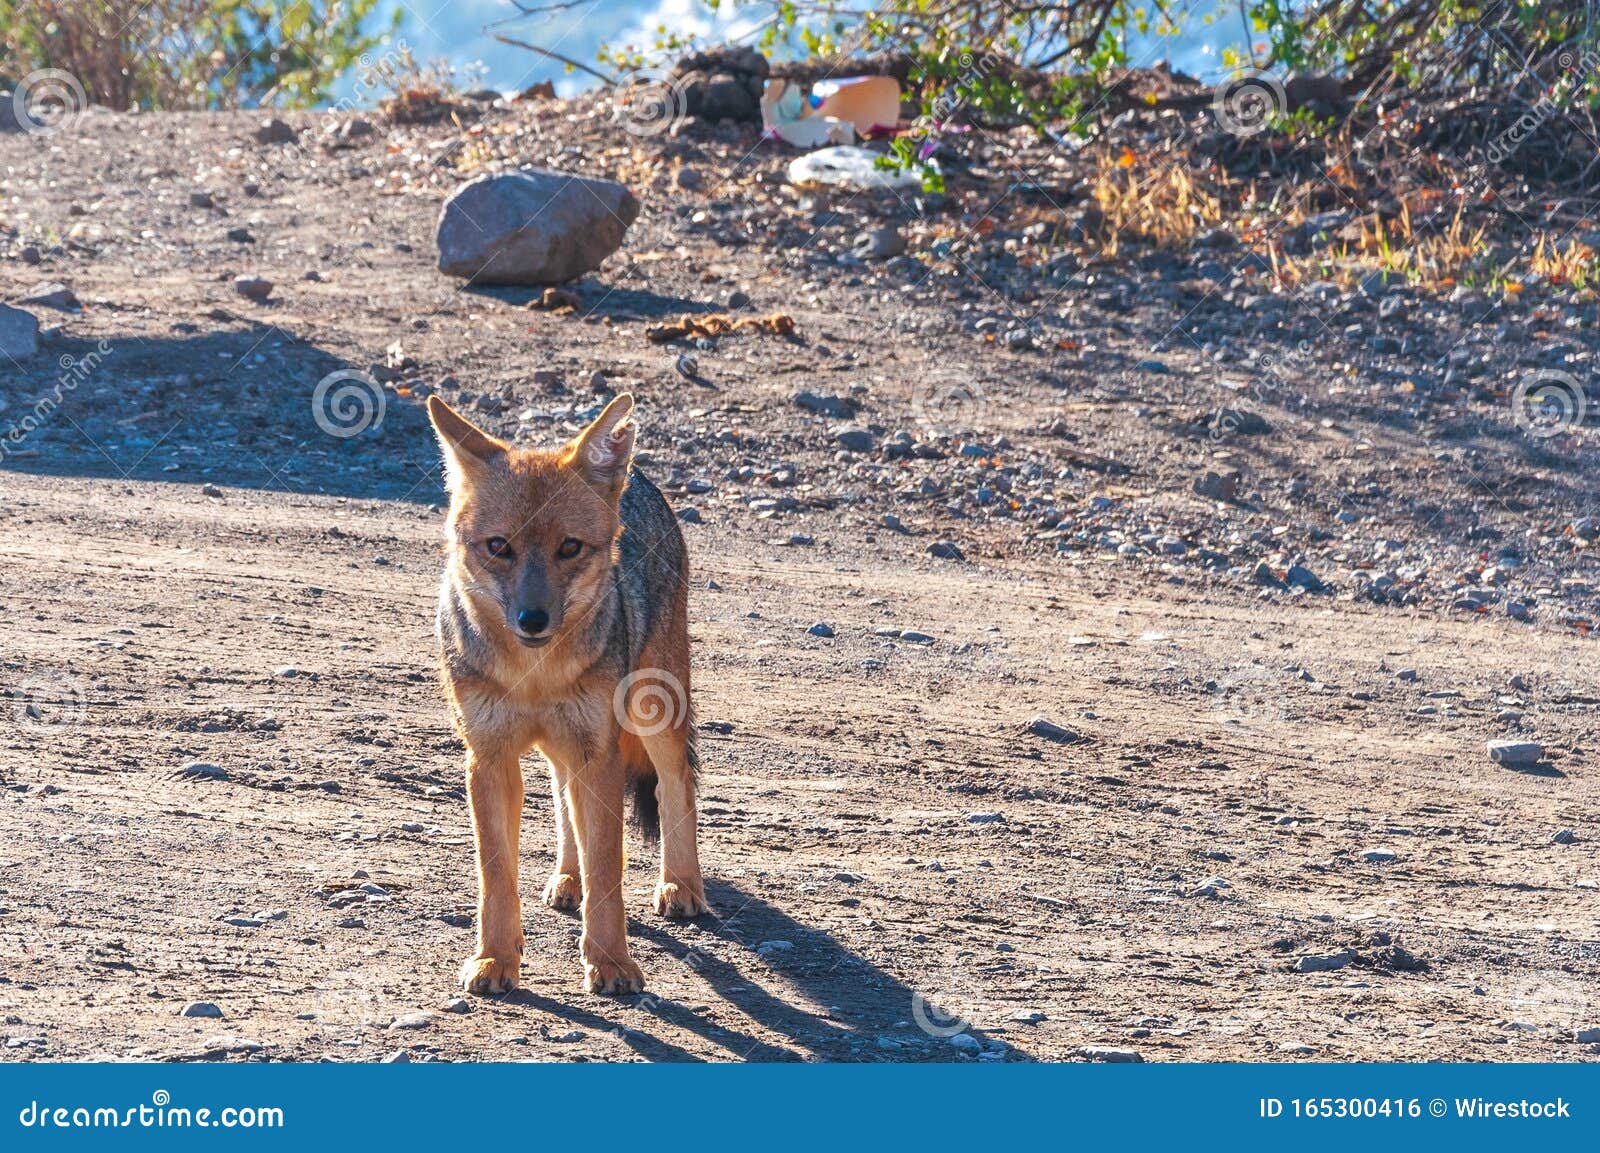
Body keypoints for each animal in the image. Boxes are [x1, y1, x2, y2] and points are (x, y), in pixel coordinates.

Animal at [425, 392, 708, 996]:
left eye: (570, 548)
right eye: (499, 547)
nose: (532, 620)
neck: (535, 675)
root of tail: (638, 478)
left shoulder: (597, 753)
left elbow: (609, 866)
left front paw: (610, 962)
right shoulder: (489, 757)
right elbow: (496, 873)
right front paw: (494, 959)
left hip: (653, 713)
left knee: (676, 784)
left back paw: (680, 885)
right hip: (571, 747)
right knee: (562, 798)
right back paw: (566, 878)